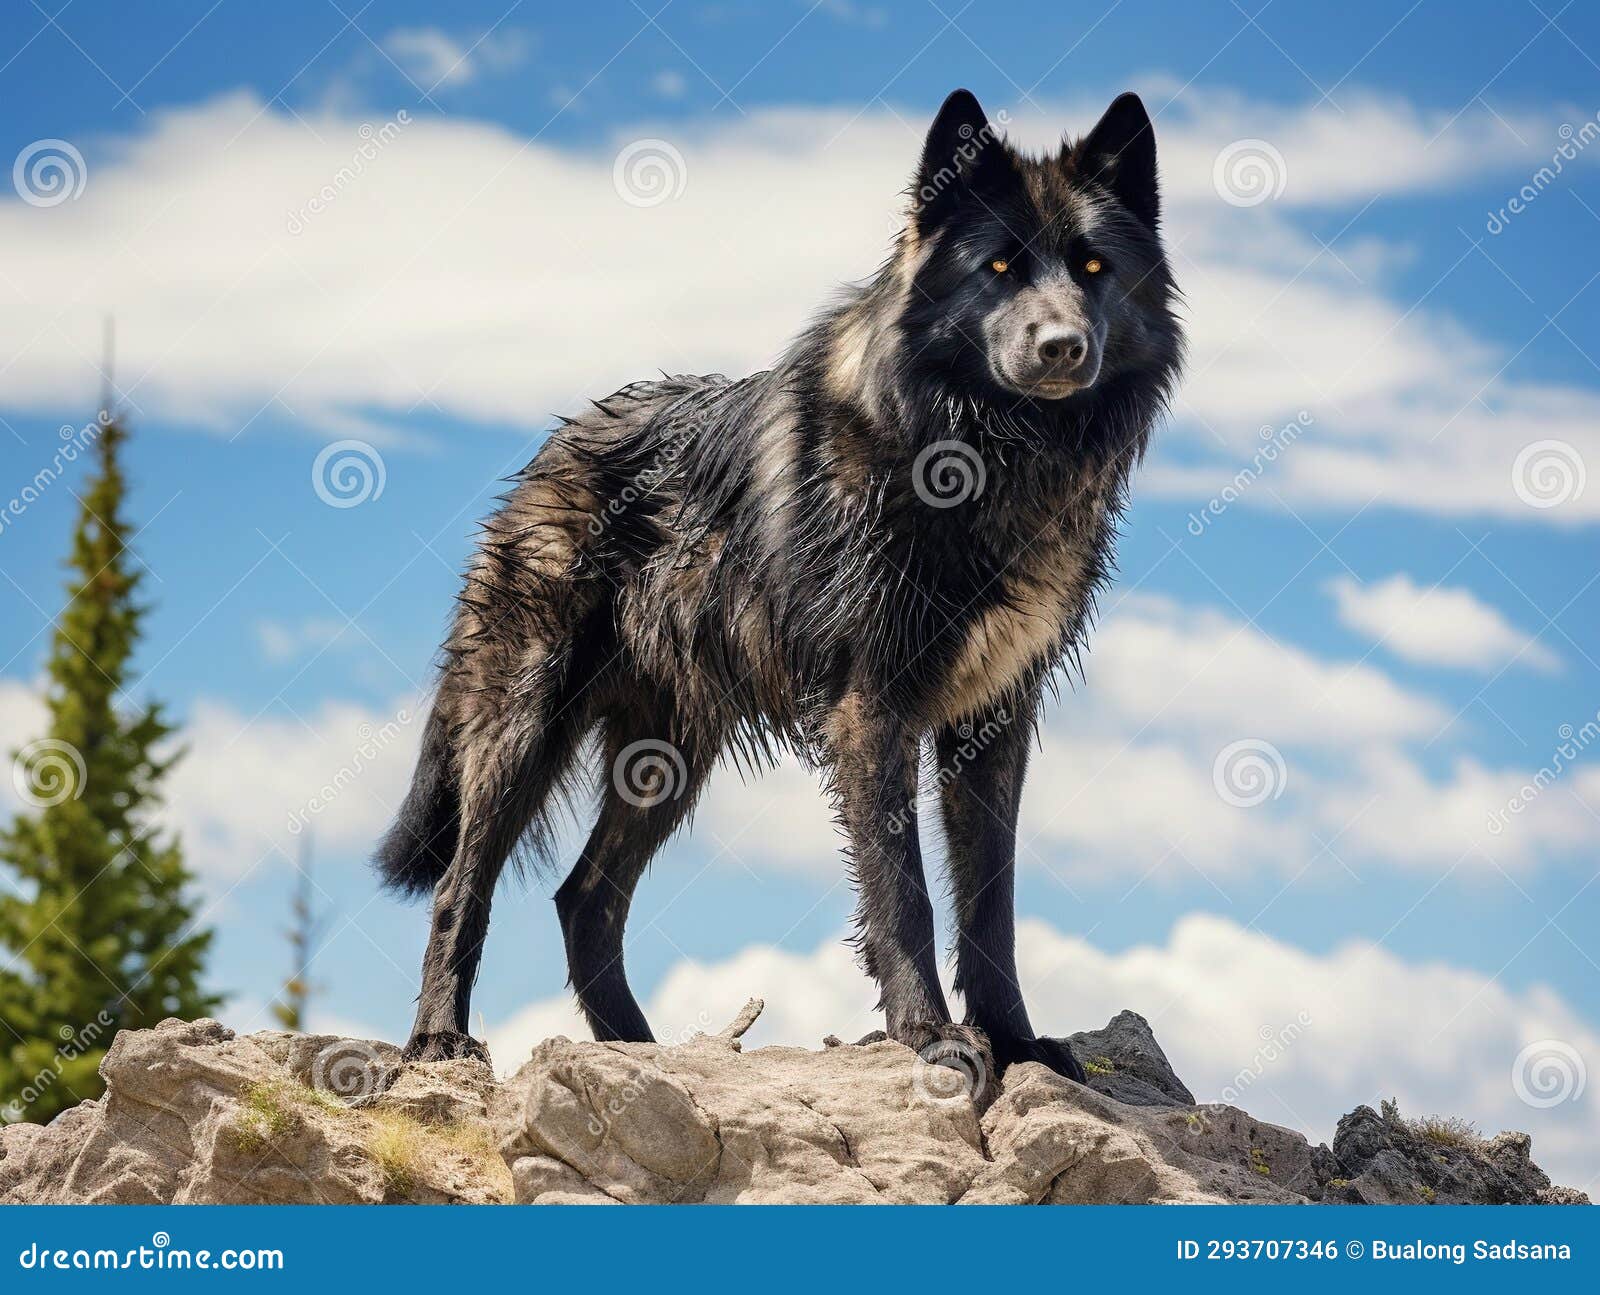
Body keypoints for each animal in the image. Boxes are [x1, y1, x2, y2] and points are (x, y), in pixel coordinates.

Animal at [377, 89, 1184, 1085]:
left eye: (1095, 267)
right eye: (998, 267)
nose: (1063, 346)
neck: (984, 457)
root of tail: (549, 451)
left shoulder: (994, 720)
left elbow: (991, 904)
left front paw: (1017, 1040)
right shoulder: (871, 709)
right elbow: (903, 889)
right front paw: (930, 1033)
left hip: (664, 759)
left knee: (585, 898)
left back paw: (646, 1054)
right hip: (527, 723)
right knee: (462, 884)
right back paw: (438, 1040)